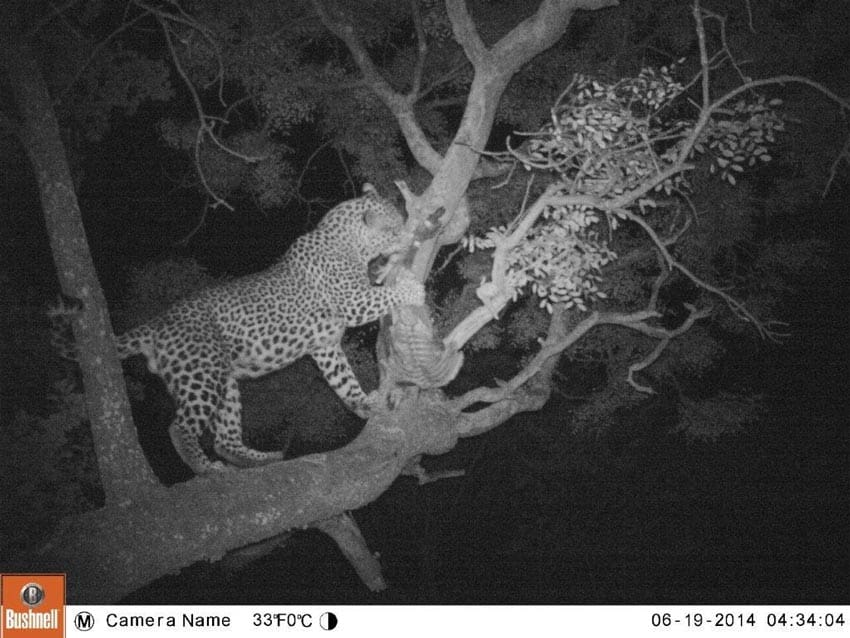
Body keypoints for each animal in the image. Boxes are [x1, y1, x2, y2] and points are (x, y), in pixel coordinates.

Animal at [53, 184, 424, 474]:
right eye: (395, 227)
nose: (411, 238)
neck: (348, 242)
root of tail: (159, 323)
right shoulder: (351, 299)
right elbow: (380, 296)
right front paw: (412, 289)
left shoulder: (326, 348)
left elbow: (343, 380)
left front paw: (363, 404)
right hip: (201, 373)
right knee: (180, 428)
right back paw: (206, 468)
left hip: (225, 380)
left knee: (224, 438)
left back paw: (260, 458)